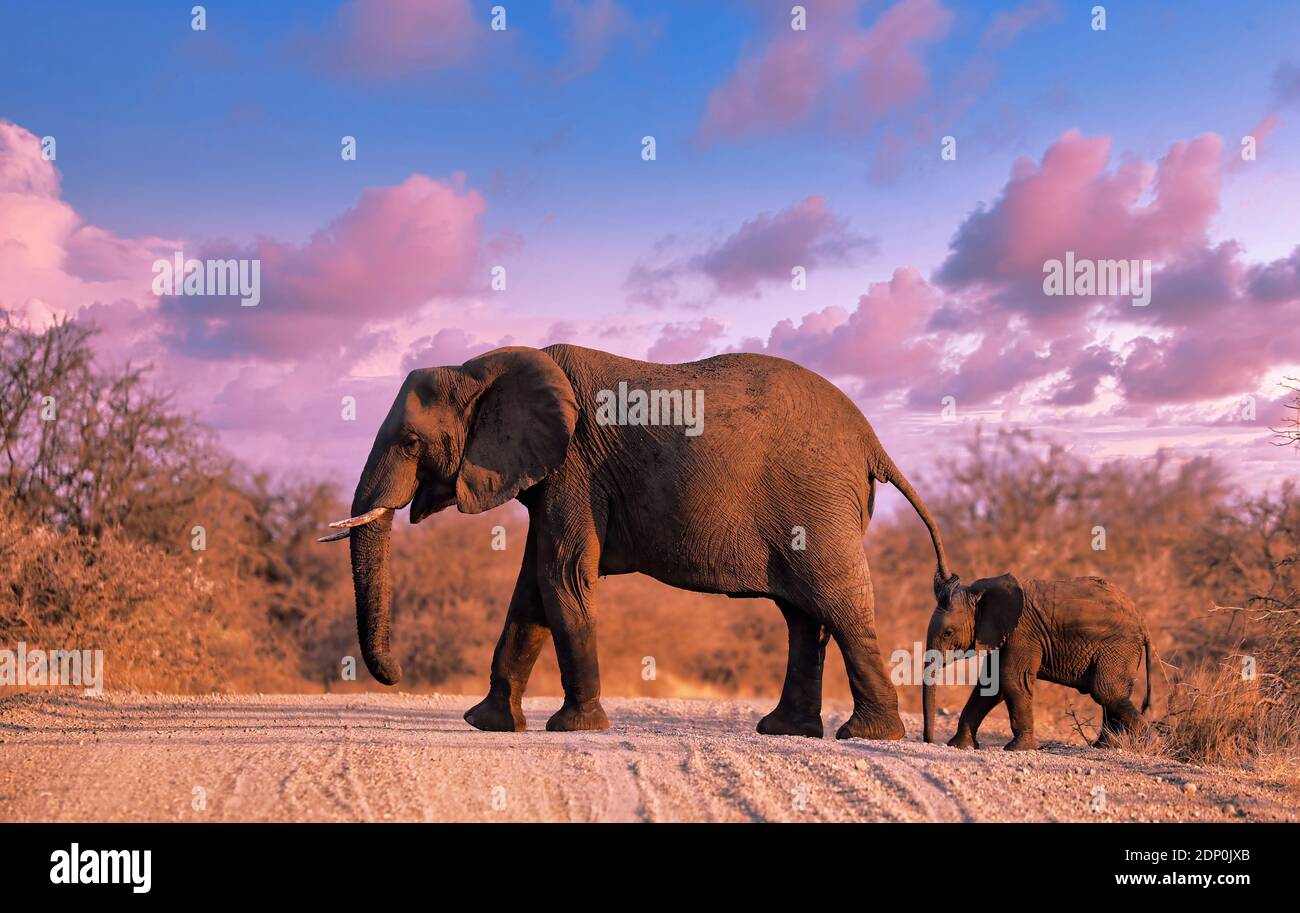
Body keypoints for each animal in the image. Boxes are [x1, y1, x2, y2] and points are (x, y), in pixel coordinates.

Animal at [320, 344, 950, 739]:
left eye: (409, 442)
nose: (396, 672)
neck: (482, 366)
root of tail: (872, 442)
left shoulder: (573, 466)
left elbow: (561, 574)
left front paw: (572, 727)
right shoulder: (551, 474)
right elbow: (532, 589)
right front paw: (488, 723)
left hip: (816, 503)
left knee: (837, 605)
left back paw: (868, 734)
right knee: (803, 616)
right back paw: (786, 731)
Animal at [922, 572, 1154, 750]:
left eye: (948, 633)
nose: (929, 741)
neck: (979, 593)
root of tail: (1143, 622)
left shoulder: (1022, 632)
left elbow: (1011, 678)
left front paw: (1018, 749)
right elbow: (991, 685)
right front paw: (959, 746)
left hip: (1118, 646)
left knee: (1106, 691)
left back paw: (1151, 744)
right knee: (1109, 694)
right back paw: (1105, 747)